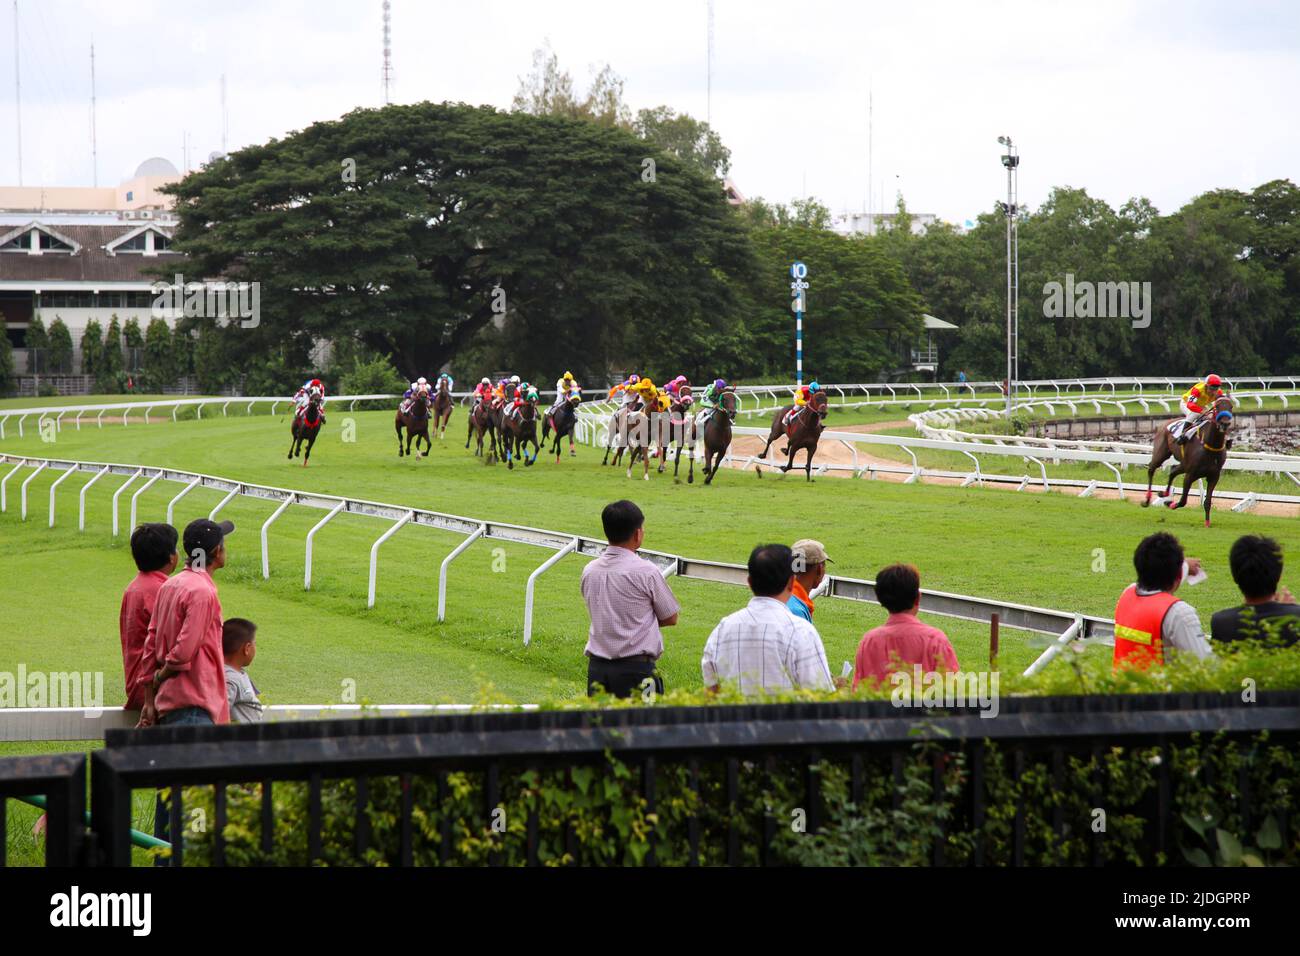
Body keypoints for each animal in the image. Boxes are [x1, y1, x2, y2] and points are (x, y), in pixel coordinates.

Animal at [1144, 395, 1232, 530]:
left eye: (1231, 407)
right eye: (1217, 407)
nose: (1225, 424)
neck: (1210, 446)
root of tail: (1164, 424)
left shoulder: (1213, 476)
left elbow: (1207, 501)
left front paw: (1207, 523)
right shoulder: (1190, 475)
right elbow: (1183, 500)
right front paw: (1170, 503)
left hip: (1184, 464)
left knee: (1173, 471)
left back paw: (1164, 493)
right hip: (1161, 454)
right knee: (1151, 469)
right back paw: (1147, 500)